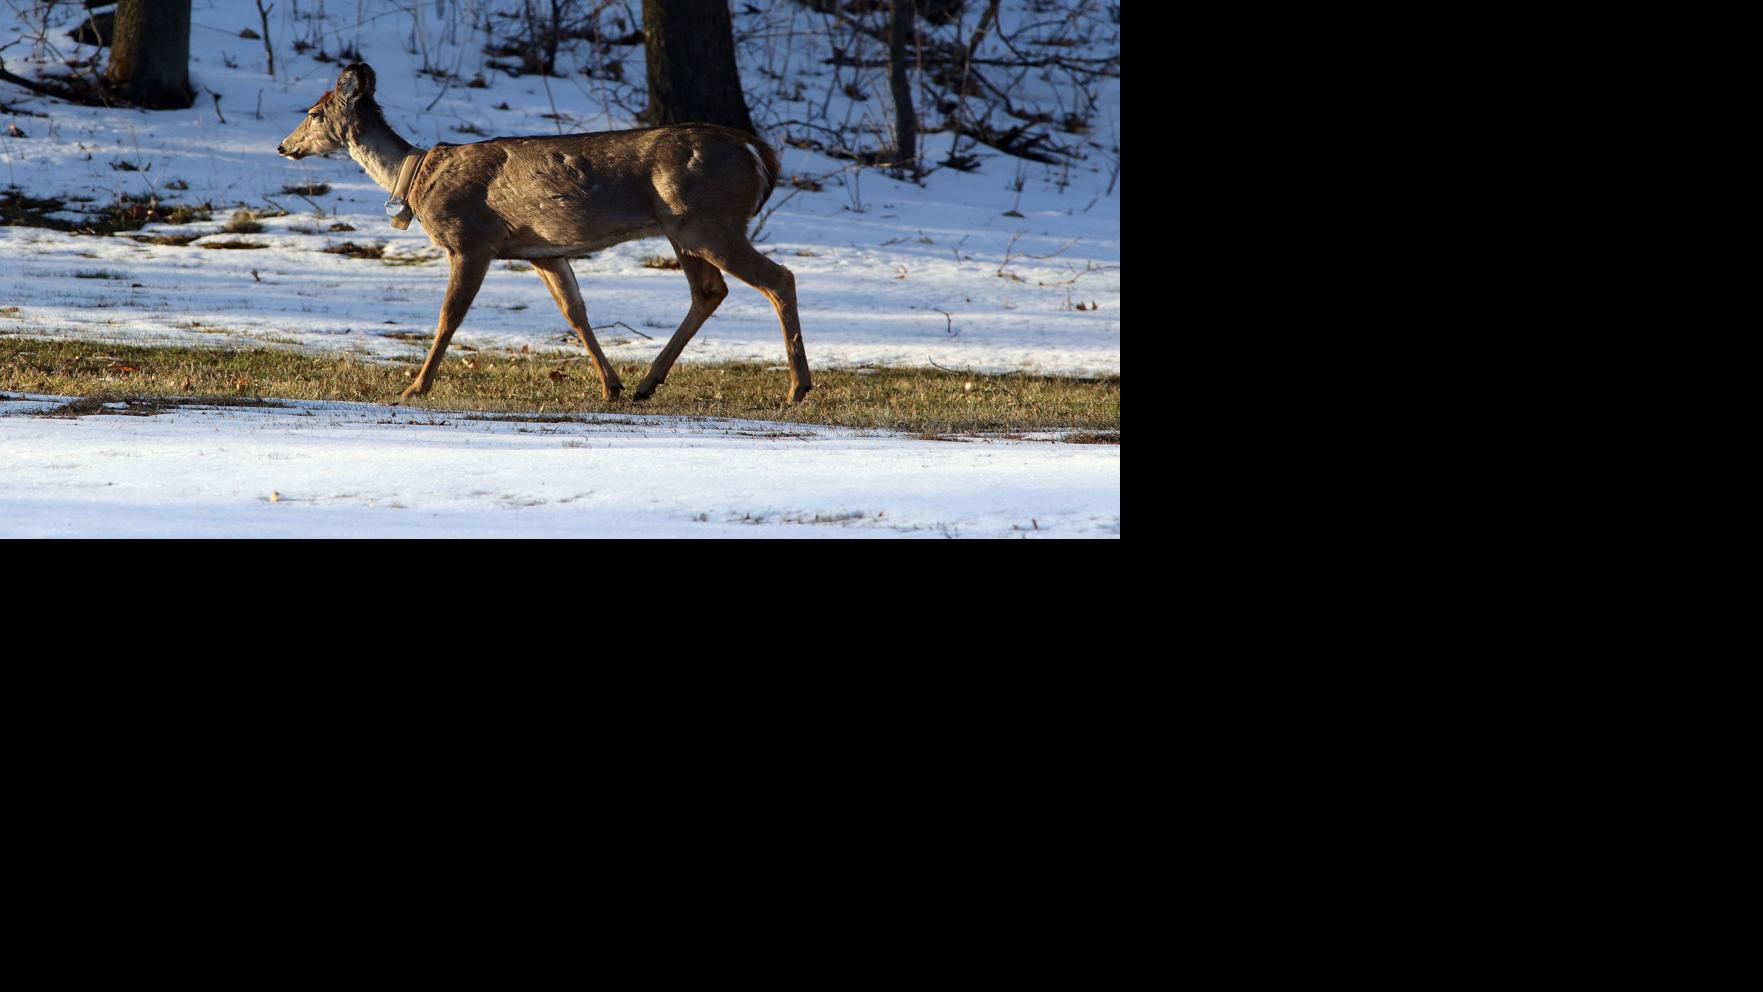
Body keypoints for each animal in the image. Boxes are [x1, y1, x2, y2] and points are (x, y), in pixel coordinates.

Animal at [276, 63, 810, 406]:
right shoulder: (543, 252)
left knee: (779, 278)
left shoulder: (471, 240)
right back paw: (645, 384)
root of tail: (758, 154)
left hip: (707, 221)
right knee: (709, 291)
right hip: (684, 229)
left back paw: (796, 389)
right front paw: (610, 386)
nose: (283, 146)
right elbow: (576, 313)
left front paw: (414, 388)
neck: (416, 178)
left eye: (315, 112)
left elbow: (449, 317)